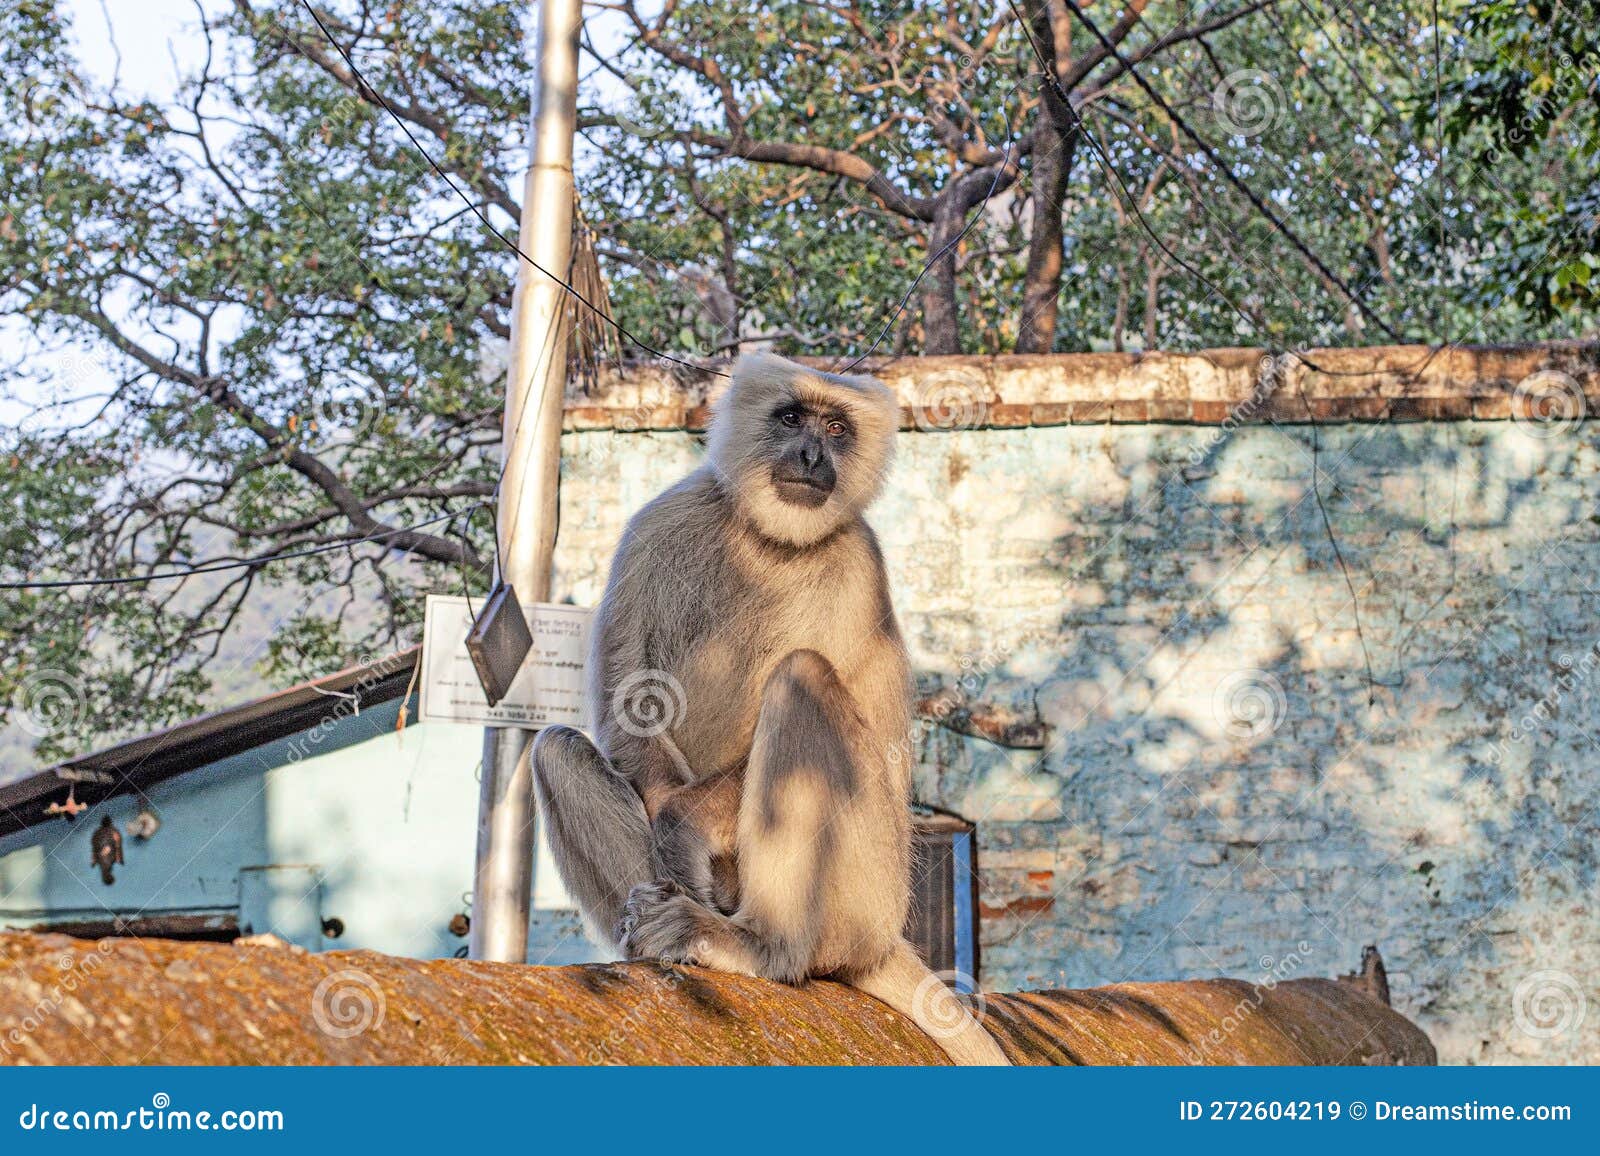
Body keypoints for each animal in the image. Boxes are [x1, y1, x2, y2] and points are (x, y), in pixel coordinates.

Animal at [531, 352, 1008, 1066]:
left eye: (835, 428)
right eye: (790, 419)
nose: (811, 454)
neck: (768, 540)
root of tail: (885, 936)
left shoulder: (857, 564)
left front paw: (684, 827)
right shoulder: (660, 522)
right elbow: (625, 707)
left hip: (865, 892)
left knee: (802, 677)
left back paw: (759, 947)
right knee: (556, 748)